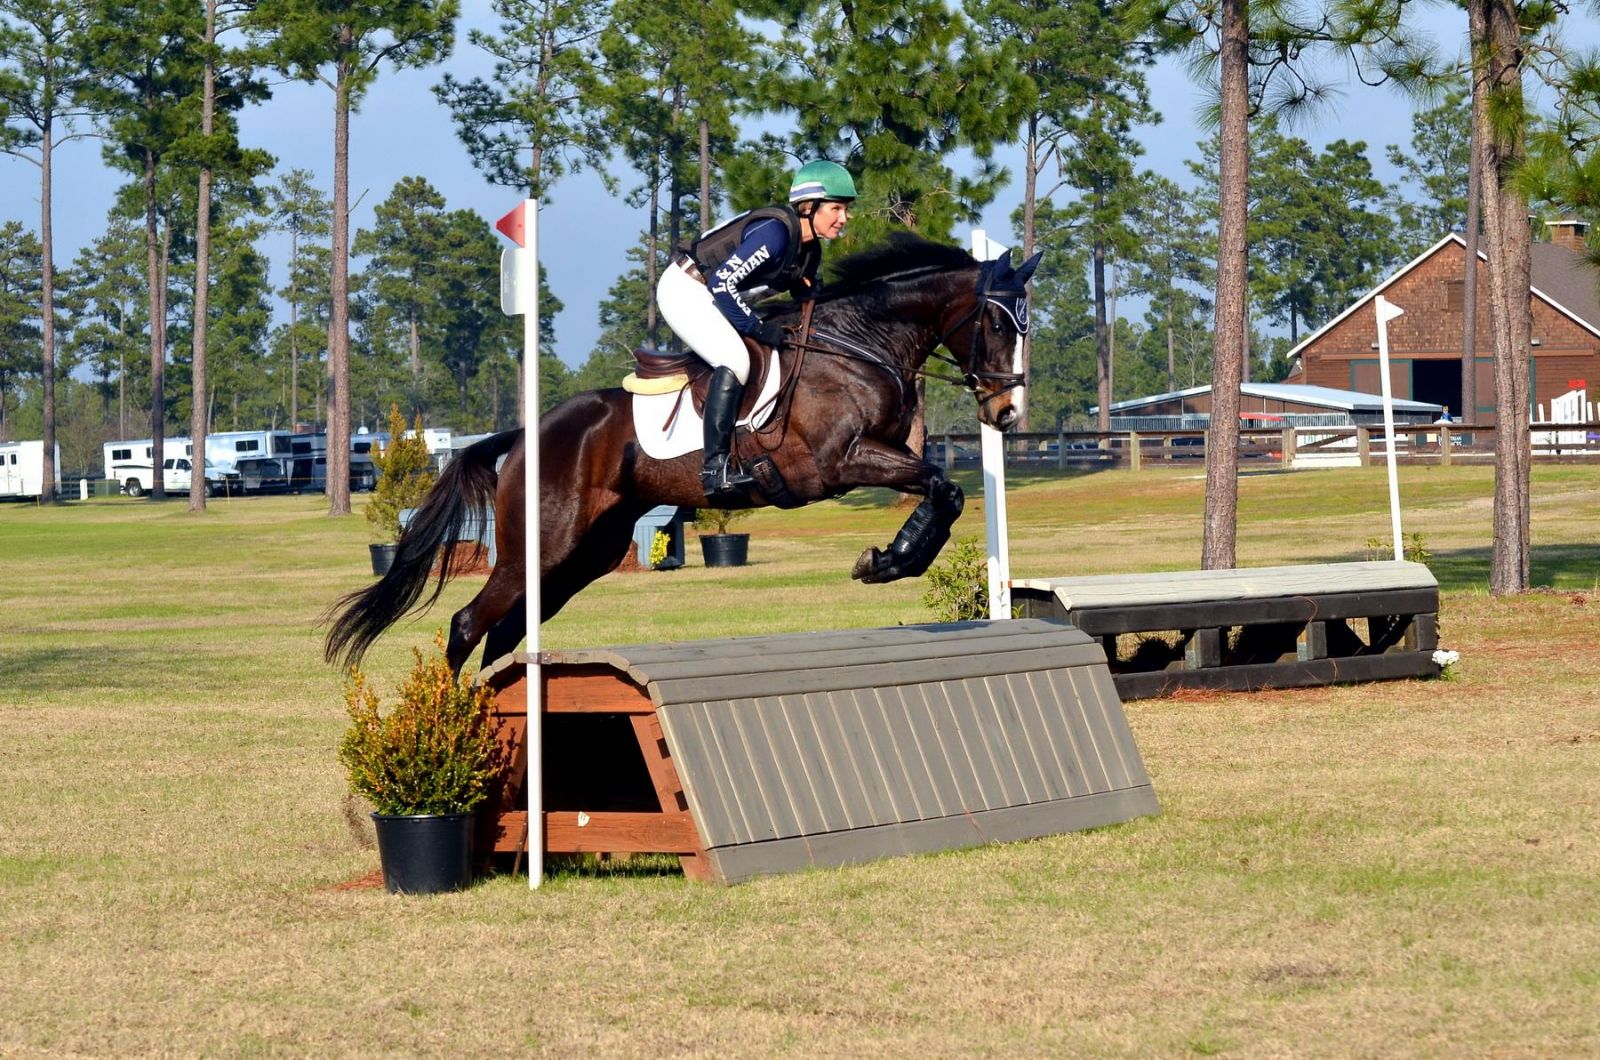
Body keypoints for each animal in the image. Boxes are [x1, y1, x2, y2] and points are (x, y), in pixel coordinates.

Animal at [325, 232, 1042, 675]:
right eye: (997, 323)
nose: (1007, 415)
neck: (860, 344)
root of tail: (527, 435)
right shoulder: (837, 464)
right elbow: (940, 486)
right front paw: (887, 561)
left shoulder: (878, 453)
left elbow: (944, 490)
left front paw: (895, 558)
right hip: (540, 547)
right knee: (468, 623)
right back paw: (446, 720)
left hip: (587, 555)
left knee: (505, 631)